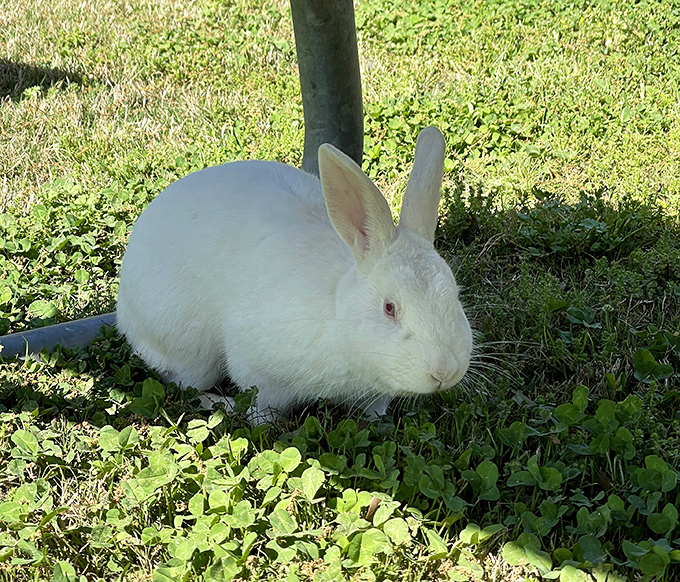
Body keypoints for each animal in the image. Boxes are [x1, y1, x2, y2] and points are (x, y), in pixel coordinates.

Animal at [116, 126, 473, 423]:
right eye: (389, 308)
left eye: (455, 296)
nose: (444, 371)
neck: (338, 316)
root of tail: (123, 309)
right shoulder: (260, 375)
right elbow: (261, 411)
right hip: (189, 351)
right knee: (184, 381)